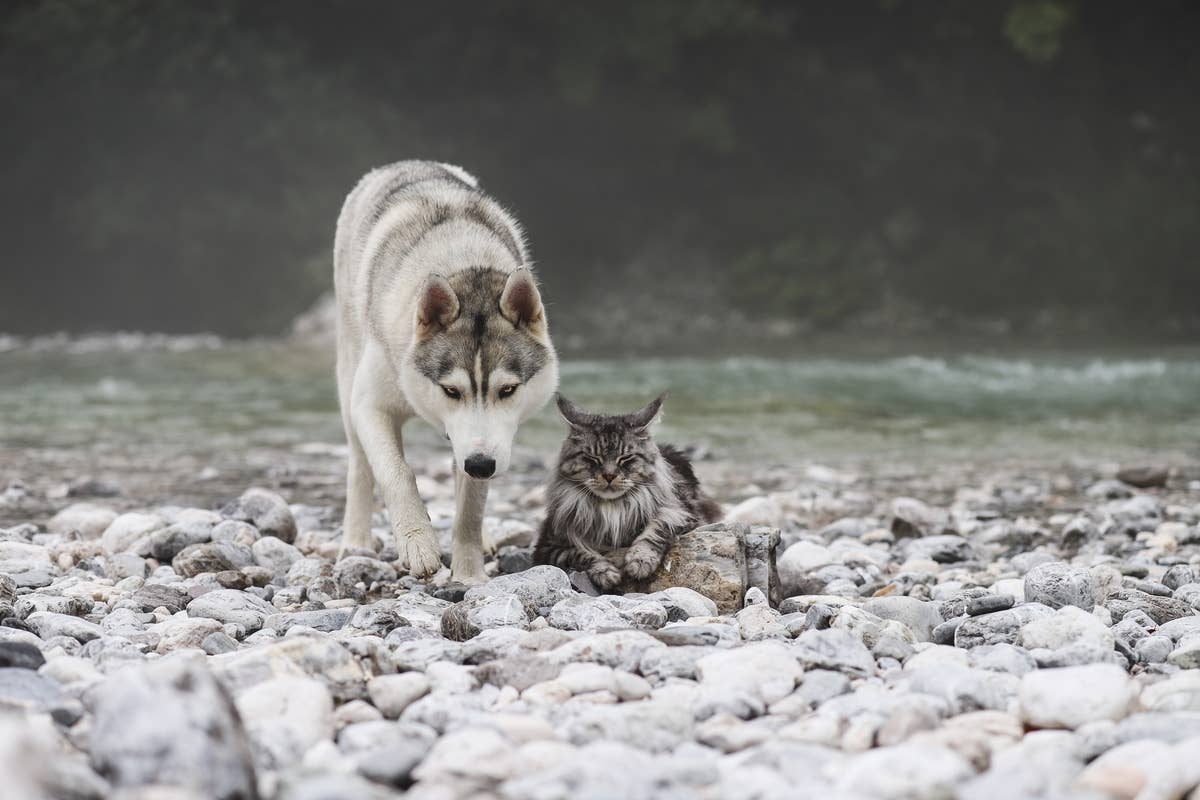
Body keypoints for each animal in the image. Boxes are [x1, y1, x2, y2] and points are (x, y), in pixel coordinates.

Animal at [333, 160, 558, 583]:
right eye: (451, 391)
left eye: (507, 390)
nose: (481, 465)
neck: (461, 264)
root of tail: (405, 163)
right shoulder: (371, 406)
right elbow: (396, 473)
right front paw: (417, 544)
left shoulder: (478, 447)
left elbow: (470, 511)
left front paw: (470, 576)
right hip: (348, 380)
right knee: (359, 465)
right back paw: (355, 543)